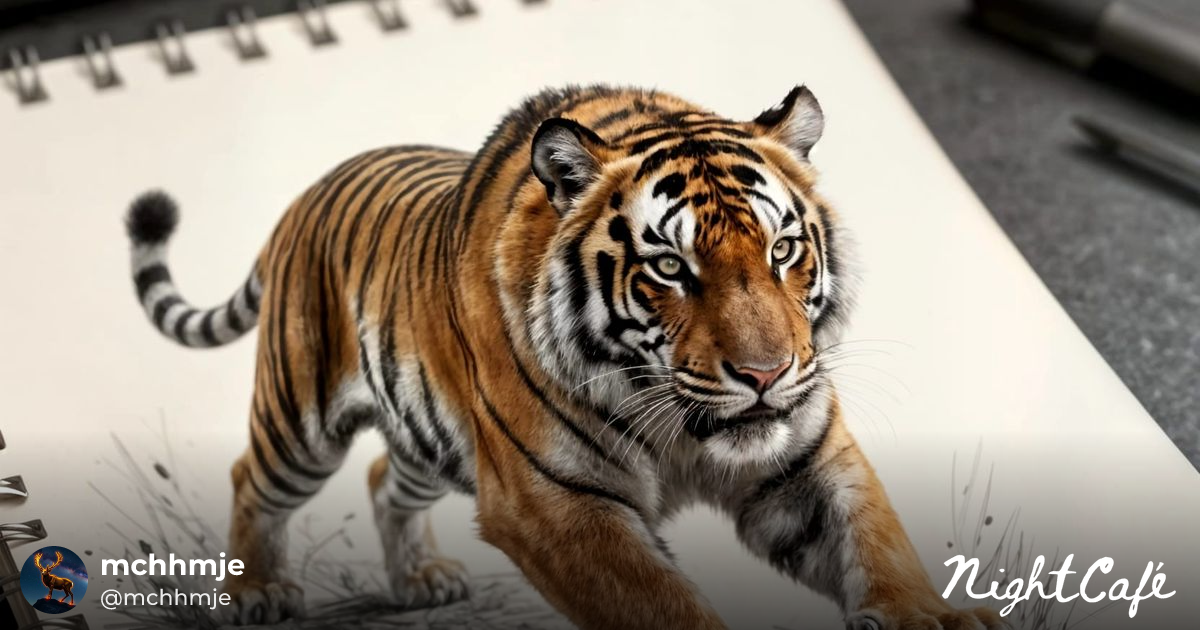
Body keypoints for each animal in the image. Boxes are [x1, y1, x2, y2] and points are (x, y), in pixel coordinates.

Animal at [124, 84, 1005, 629]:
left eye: (783, 249)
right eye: (670, 268)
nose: (764, 376)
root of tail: (307, 192)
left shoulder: (806, 457)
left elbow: (875, 534)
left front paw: (930, 616)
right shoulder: (555, 505)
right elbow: (663, 606)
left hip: (429, 441)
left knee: (381, 478)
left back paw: (421, 581)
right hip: (301, 418)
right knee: (252, 478)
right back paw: (261, 592)